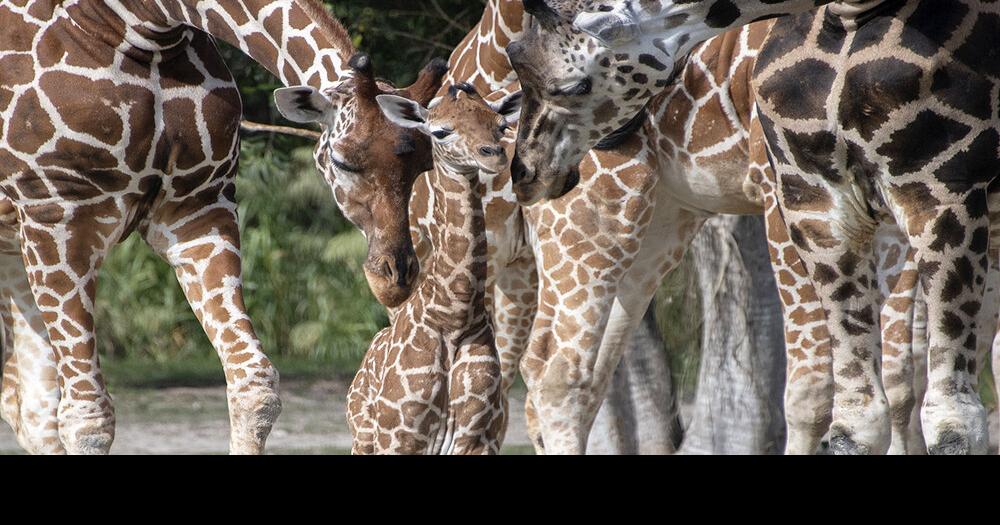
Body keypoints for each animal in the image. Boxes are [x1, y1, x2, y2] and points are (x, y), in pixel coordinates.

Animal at [0, 0, 445, 454]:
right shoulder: (55, 213)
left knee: (28, 404)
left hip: (13, 251)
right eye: (342, 161)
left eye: (424, 163)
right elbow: (87, 418)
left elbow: (254, 386)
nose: (394, 280)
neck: (143, 29)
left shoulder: (197, 208)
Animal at [346, 84, 521, 455]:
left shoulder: (476, 438)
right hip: (364, 436)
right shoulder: (400, 437)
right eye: (441, 131)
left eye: (500, 125)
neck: (454, 315)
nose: (494, 155)